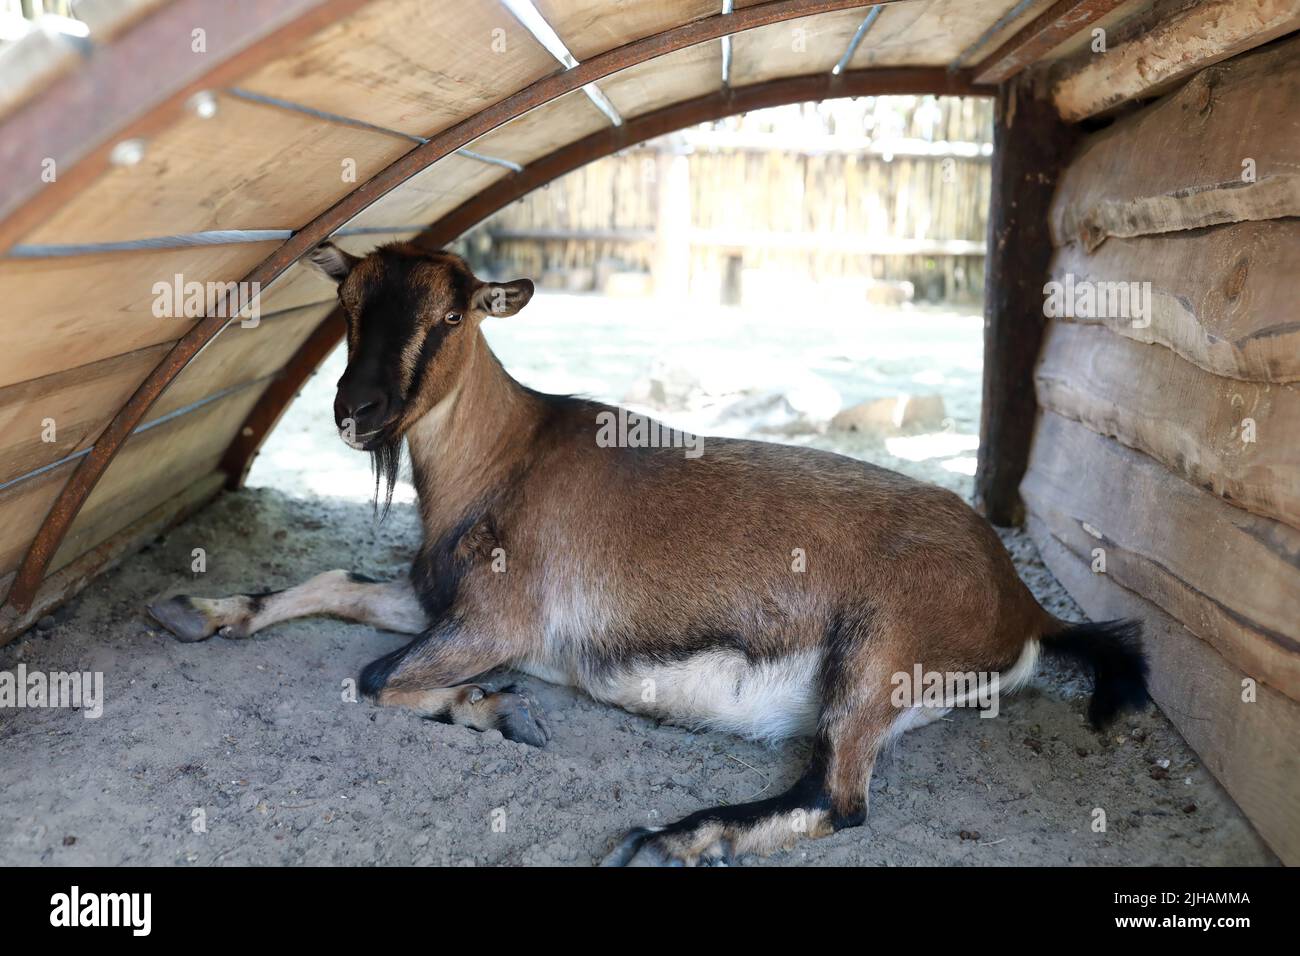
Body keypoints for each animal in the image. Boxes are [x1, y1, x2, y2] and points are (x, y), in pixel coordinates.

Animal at [148, 241, 1149, 866]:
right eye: (348, 305)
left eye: (451, 317)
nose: (357, 410)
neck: (503, 456)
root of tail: (1023, 605)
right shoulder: (436, 601)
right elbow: (335, 581)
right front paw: (195, 609)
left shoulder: (500, 622)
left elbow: (375, 677)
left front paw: (499, 711)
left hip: (880, 647)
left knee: (838, 795)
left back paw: (667, 840)